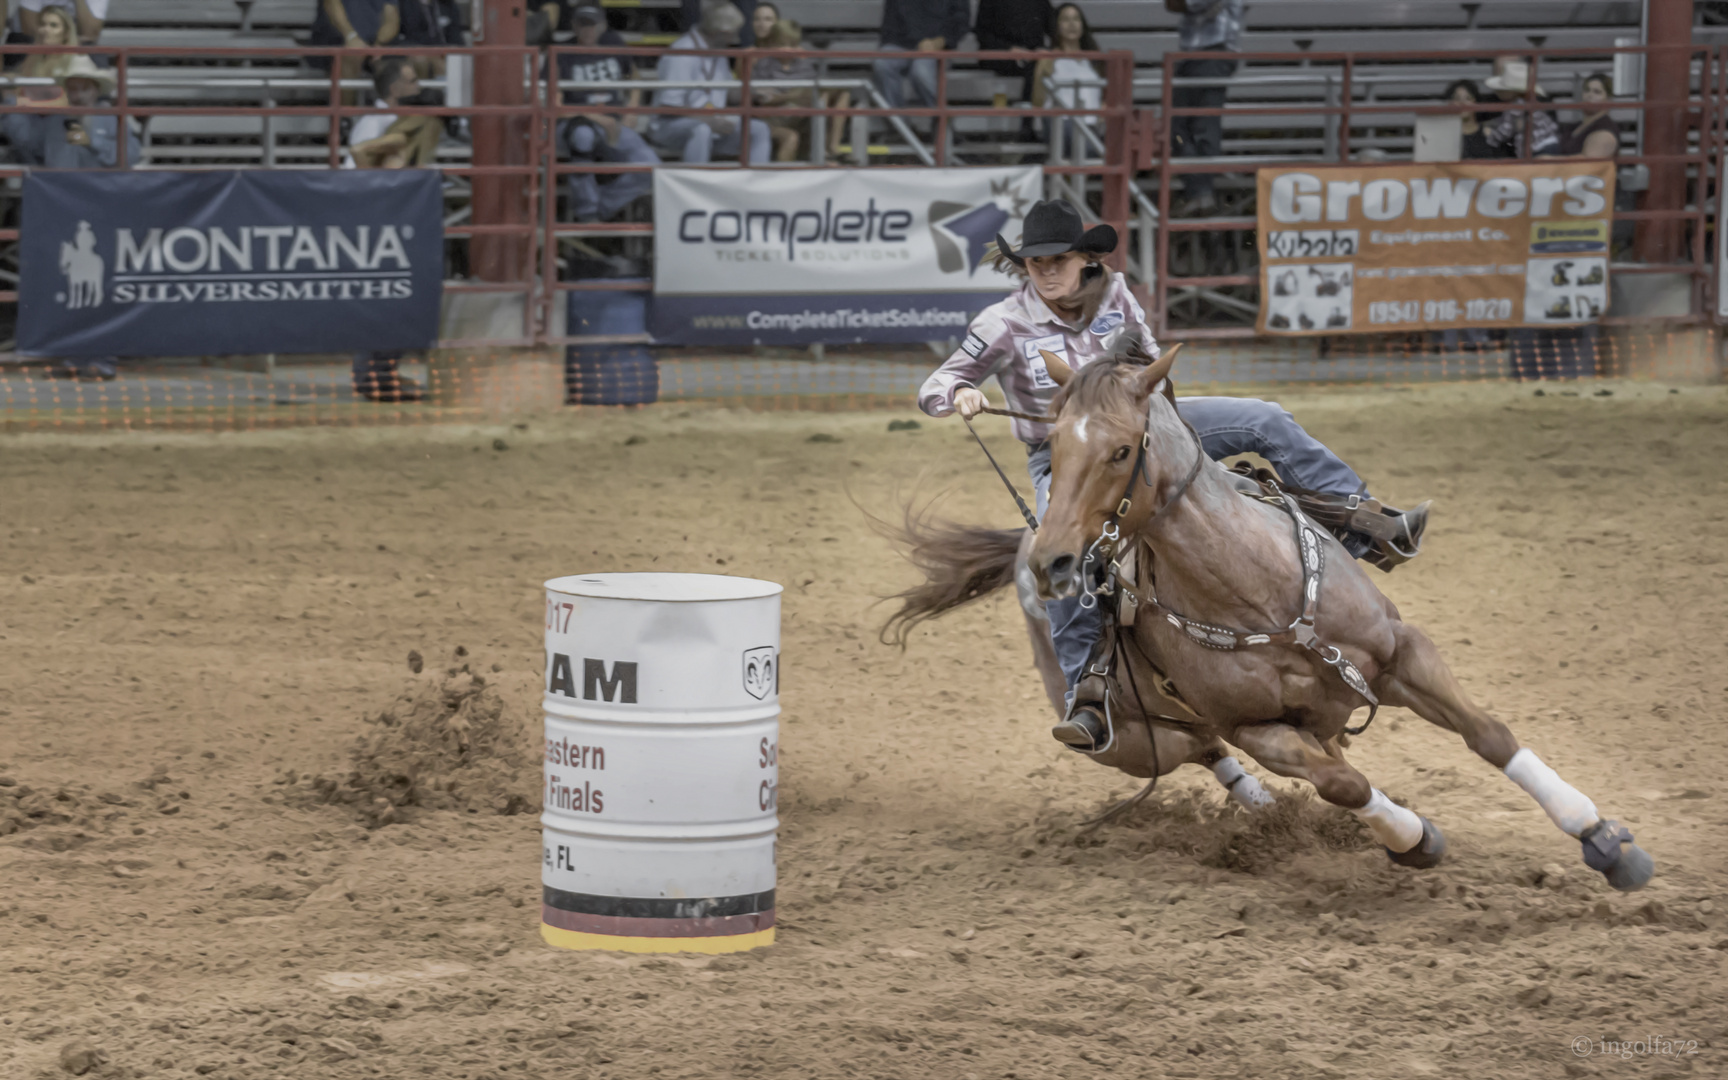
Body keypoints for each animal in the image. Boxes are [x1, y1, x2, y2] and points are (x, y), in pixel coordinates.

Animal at [883, 344, 1654, 891]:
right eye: (1054, 446)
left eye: (1121, 449)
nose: (1057, 564)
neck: (1260, 593)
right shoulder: (1256, 727)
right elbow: (1346, 786)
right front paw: (1414, 837)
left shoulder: (1404, 653)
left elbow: (1489, 735)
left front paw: (1603, 839)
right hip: (1136, 744)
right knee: (1206, 751)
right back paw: (1261, 806)